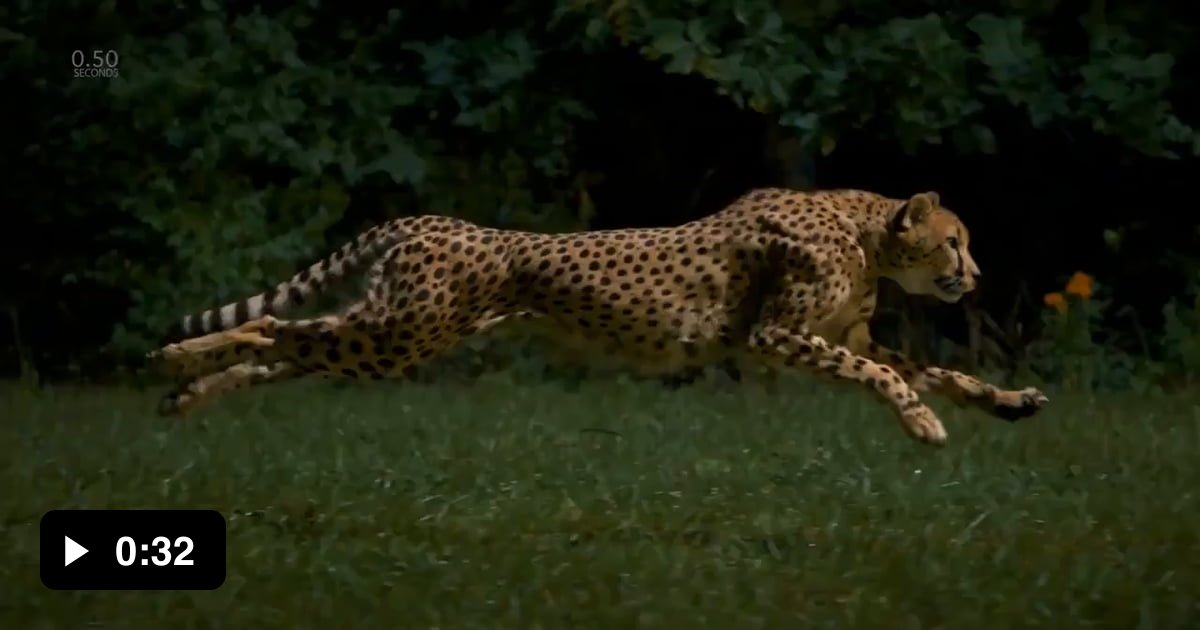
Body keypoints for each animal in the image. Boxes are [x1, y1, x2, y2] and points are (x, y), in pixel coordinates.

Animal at [149, 187, 1049, 446]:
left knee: (288, 351)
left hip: (392, 339)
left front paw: (1007, 401)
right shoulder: (774, 336)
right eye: (955, 240)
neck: (864, 233)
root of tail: (429, 220)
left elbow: (930, 366)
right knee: (274, 332)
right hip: (402, 331)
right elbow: (876, 373)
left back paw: (187, 393)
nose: (975, 275)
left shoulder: (836, 334)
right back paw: (171, 359)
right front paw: (922, 423)